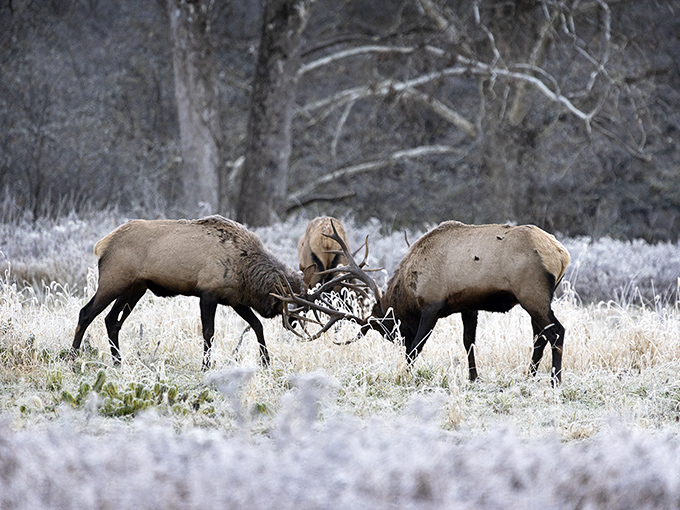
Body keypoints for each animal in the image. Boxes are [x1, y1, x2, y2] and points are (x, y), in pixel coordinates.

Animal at [70, 215, 305, 369]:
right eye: (292, 301)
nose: (293, 321)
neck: (245, 269)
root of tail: (101, 245)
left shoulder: (234, 299)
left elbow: (257, 325)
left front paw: (266, 362)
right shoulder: (208, 293)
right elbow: (208, 332)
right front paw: (205, 366)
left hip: (135, 287)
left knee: (112, 320)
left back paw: (118, 362)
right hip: (113, 281)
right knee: (86, 313)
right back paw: (72, 358)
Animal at [278, 220, 571, 385]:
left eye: (390, 329)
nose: (398, 340)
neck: (409, 287)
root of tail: (561, 254)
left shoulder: (432, 305)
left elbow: (416, 348)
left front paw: (405, 375)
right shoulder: (469, 305)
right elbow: (468, 342)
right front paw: (473, 378)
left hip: (532, 294)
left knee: (556, 332)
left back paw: (555, 380)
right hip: (535, 299)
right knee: (540, 335)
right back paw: (530, 375)